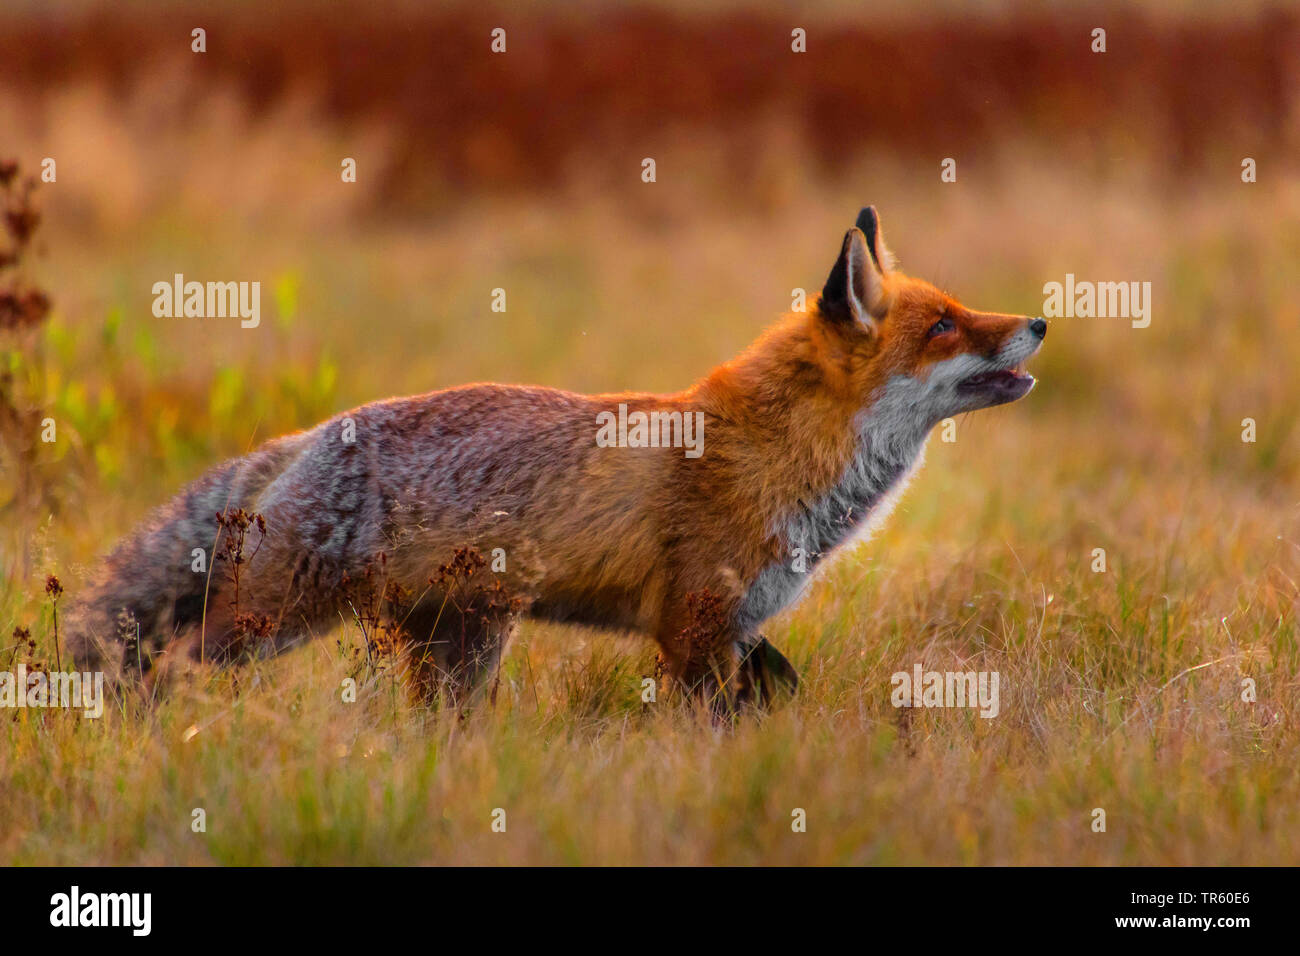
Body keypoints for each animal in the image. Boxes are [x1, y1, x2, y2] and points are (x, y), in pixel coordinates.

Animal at [67, 206, 1045, 711]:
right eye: (944, 326)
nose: (1039, 322)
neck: (776, 457)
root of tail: (312, 435)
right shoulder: (693, 628)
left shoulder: (740, 629)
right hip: (273, 622)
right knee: (173, 665)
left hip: (459, 646)